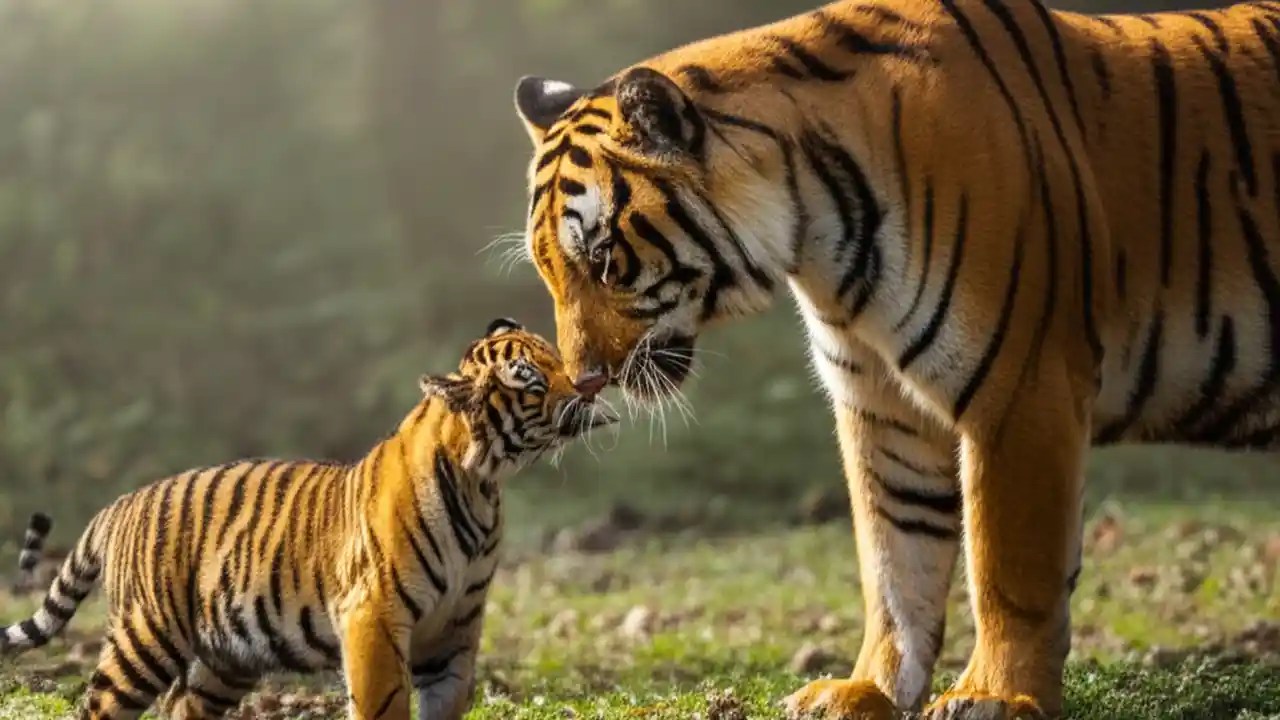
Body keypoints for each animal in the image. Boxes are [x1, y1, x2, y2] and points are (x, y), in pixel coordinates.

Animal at [0, 318, 614, 720]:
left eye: (555, 358)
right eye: (532, 380)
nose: (590, 384)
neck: (483, 486)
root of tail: (119, 504)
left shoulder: (455, 631)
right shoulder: (373, 613)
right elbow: (384, 703)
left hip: (224, 657)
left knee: (180, 705)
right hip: (145, 637)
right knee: (100, 705)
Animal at [509, 0, 1280, 717]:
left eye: (603, 261)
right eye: (548, 270)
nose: (585, 379)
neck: (818, 237)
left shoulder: (1022, 391)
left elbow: (1008, 566)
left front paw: (994, 696)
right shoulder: (880, 405)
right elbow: (894, 561)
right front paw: (867, 688)